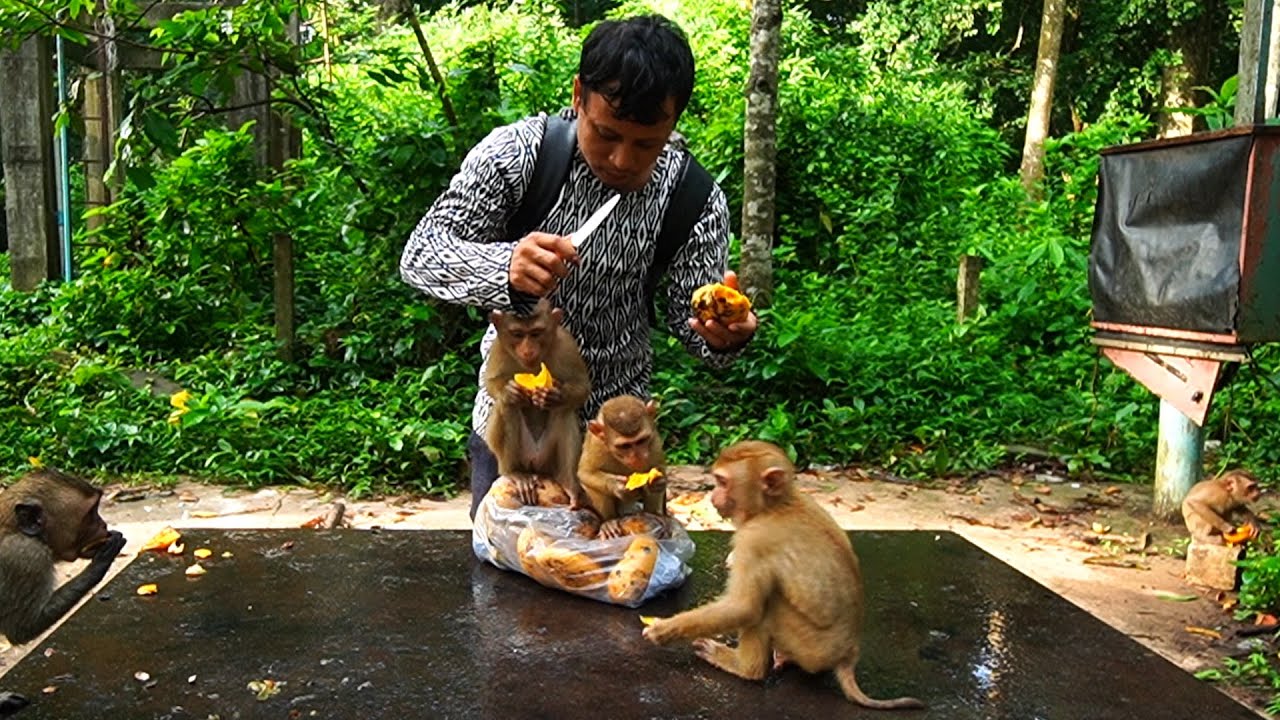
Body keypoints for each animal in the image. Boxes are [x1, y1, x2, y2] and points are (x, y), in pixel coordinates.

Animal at [0, 468, 127, 646]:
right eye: (91, 512)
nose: (103, 524)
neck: (16, 529)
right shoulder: (25, 555)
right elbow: (21, 628)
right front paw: (102, 561)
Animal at [484, 299, 591, 509]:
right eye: (518, 334)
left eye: (536, 333)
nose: (528, 350)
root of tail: (535, 462)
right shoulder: (498, 349)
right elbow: (490, 383)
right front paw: (509, 391)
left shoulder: (566, 345)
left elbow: (582, 385)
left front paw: (554, 395)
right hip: (521, 456)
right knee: (507, 407)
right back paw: (515, 473)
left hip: (548, 458)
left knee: (564, 411)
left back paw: (568, 481)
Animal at [577, 395, 667, 527]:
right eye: (624, 446)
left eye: (642, 440)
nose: (638, 457)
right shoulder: (596, 444)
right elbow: (585, 472)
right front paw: (617, 486)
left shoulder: (654, 439)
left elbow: (658, 465)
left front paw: (657, 482)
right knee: (594, 487)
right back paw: (609, 522)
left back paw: (652, 514)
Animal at [642, 441, 924, 710]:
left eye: (722, 481)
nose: (712, 496)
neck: (775, 506)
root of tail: (848, 655)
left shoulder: (754, 541)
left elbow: (744, 607)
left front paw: (664, 630)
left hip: (810, 648)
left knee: (766, 608)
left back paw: (745, 668)